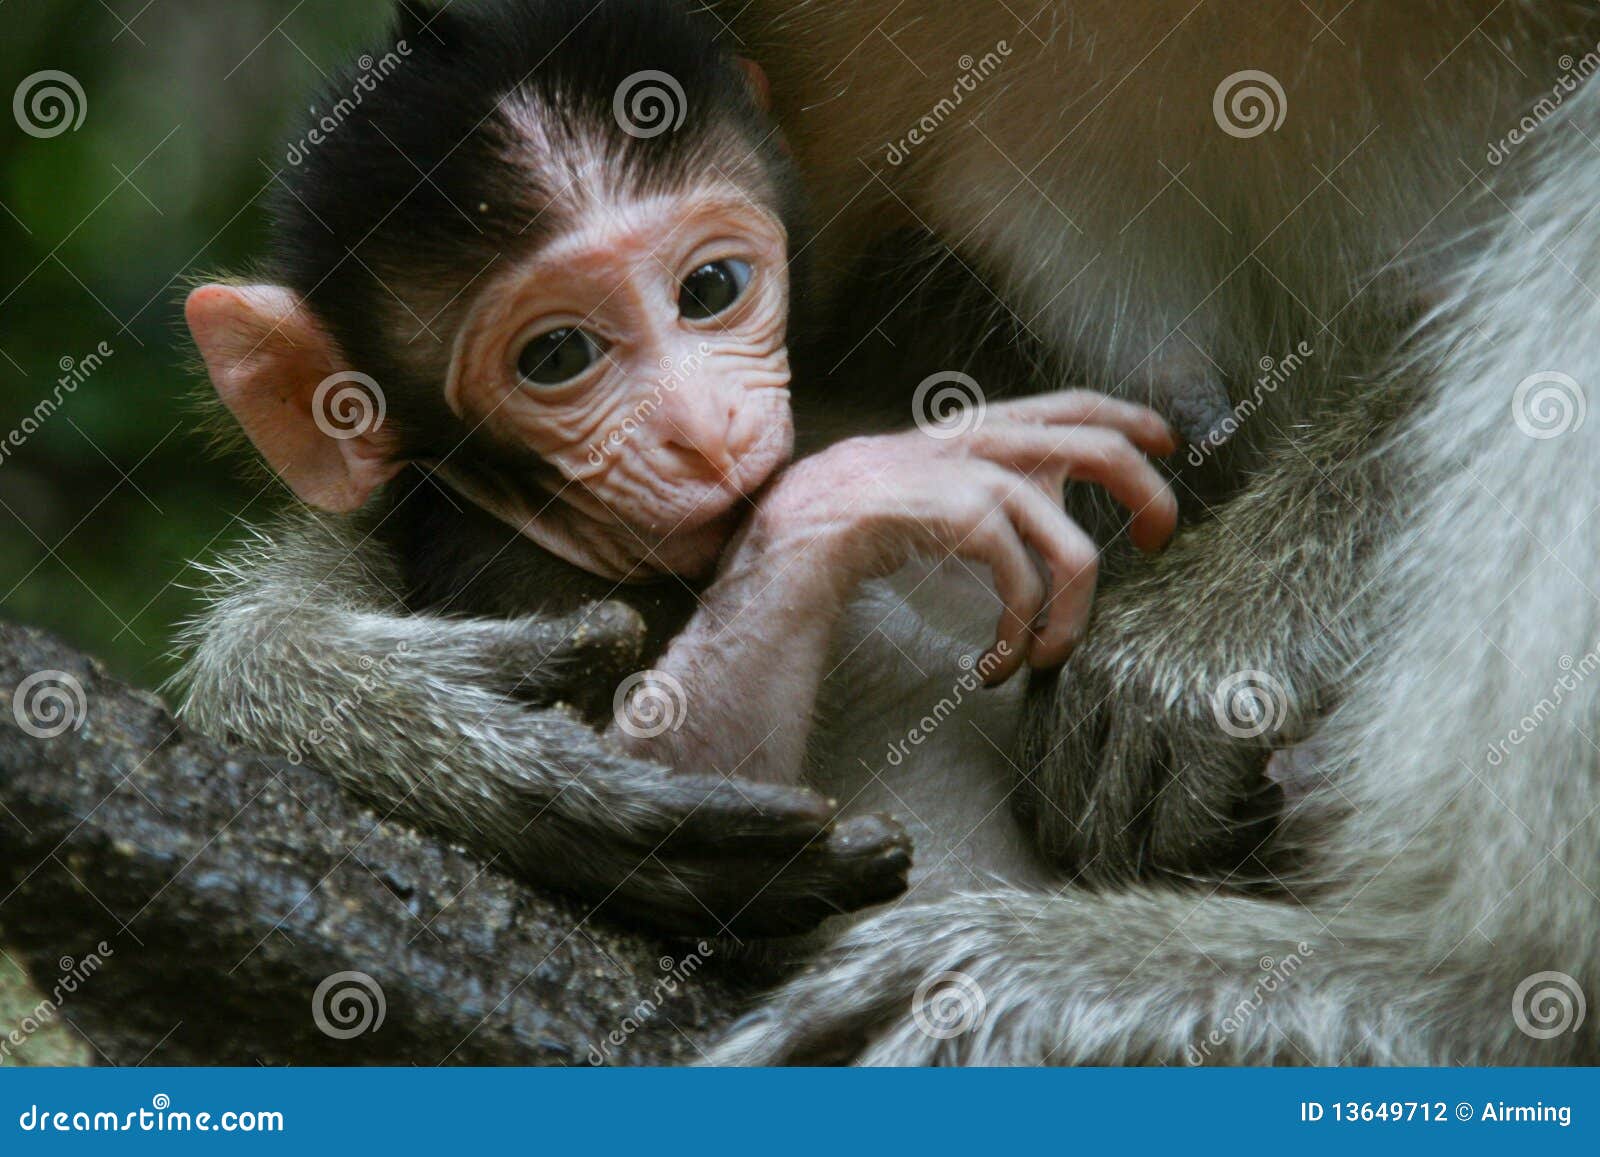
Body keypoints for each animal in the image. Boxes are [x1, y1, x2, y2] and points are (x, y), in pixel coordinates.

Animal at [176, 0, 1600, 1065]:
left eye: (711, 288)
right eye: (558, 357)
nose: (699, 433)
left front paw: (1219, 622)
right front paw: (344, 688)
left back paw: (1429, 988)